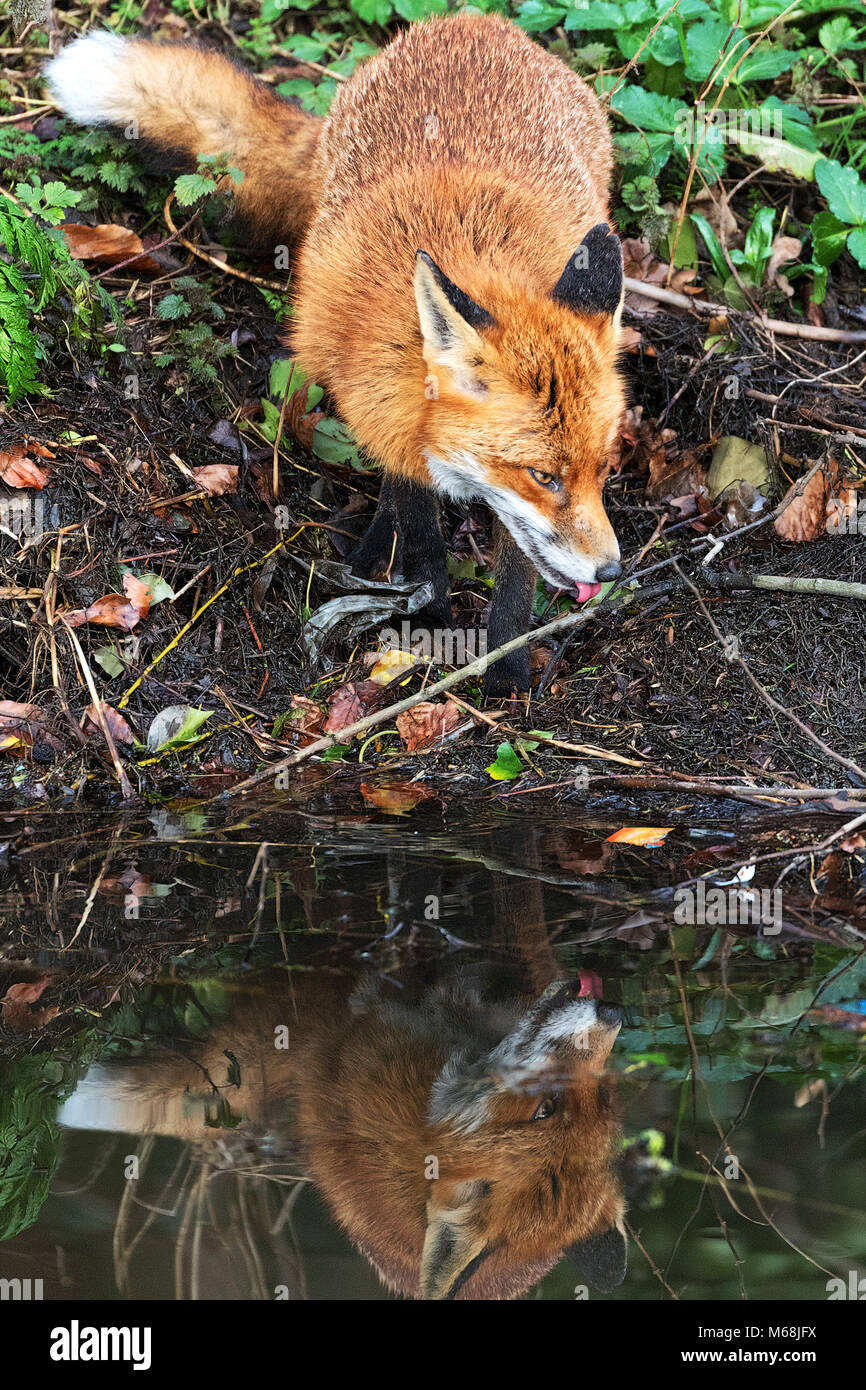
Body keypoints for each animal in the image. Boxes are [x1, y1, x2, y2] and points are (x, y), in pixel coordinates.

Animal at [46, 13, 625, 695]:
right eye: (543, 477)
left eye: (604, 468)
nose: (611, 573)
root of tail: (470, 21)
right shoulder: (385, 409)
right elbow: (420, 529)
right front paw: (430, 614)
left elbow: (516, 572)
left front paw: (504, 665)